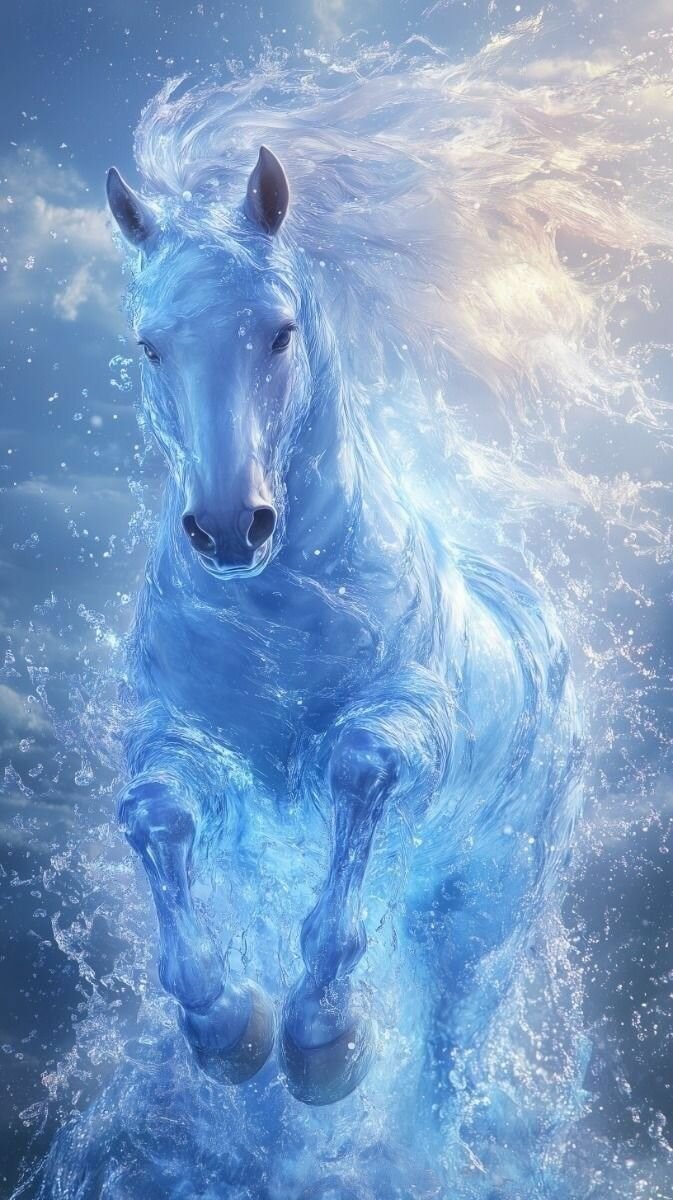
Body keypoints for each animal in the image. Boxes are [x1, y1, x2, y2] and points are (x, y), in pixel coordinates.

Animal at [105, 136, 583, 1119]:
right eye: (150, 345)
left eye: (280, 332)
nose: (227, 528)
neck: (271, 619)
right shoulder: (185, 745)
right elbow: (152, 812)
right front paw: (226, 1026)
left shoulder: (406, 725)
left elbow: (357, 771)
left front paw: (324, 1036)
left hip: (481, 910)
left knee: (448, 1044)